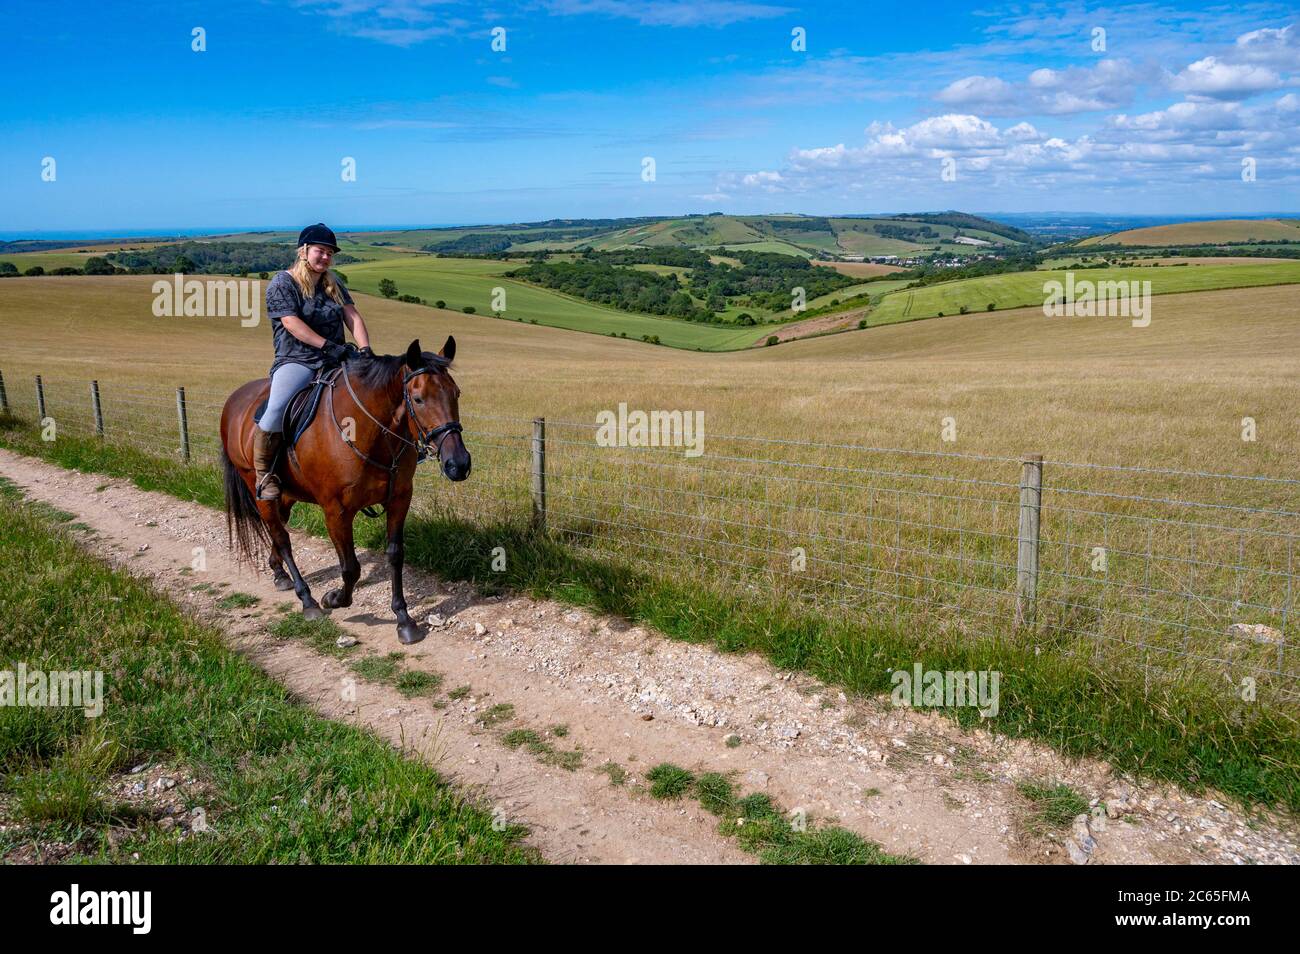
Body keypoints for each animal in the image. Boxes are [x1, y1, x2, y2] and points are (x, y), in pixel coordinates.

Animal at [219, 338, 470, 644]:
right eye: (419, 398)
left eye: (456, 393)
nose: (459, 463)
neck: (370, 432)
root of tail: (234, 400)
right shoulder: (336, 511)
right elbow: (351, 568)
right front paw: (334, 598)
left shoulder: (399, 500)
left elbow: (395, 555)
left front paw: (404, 619)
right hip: (259, 489)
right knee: (281, 537)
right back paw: (308, 600)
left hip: (285, 494)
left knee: (278, 529)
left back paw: (279, 573)